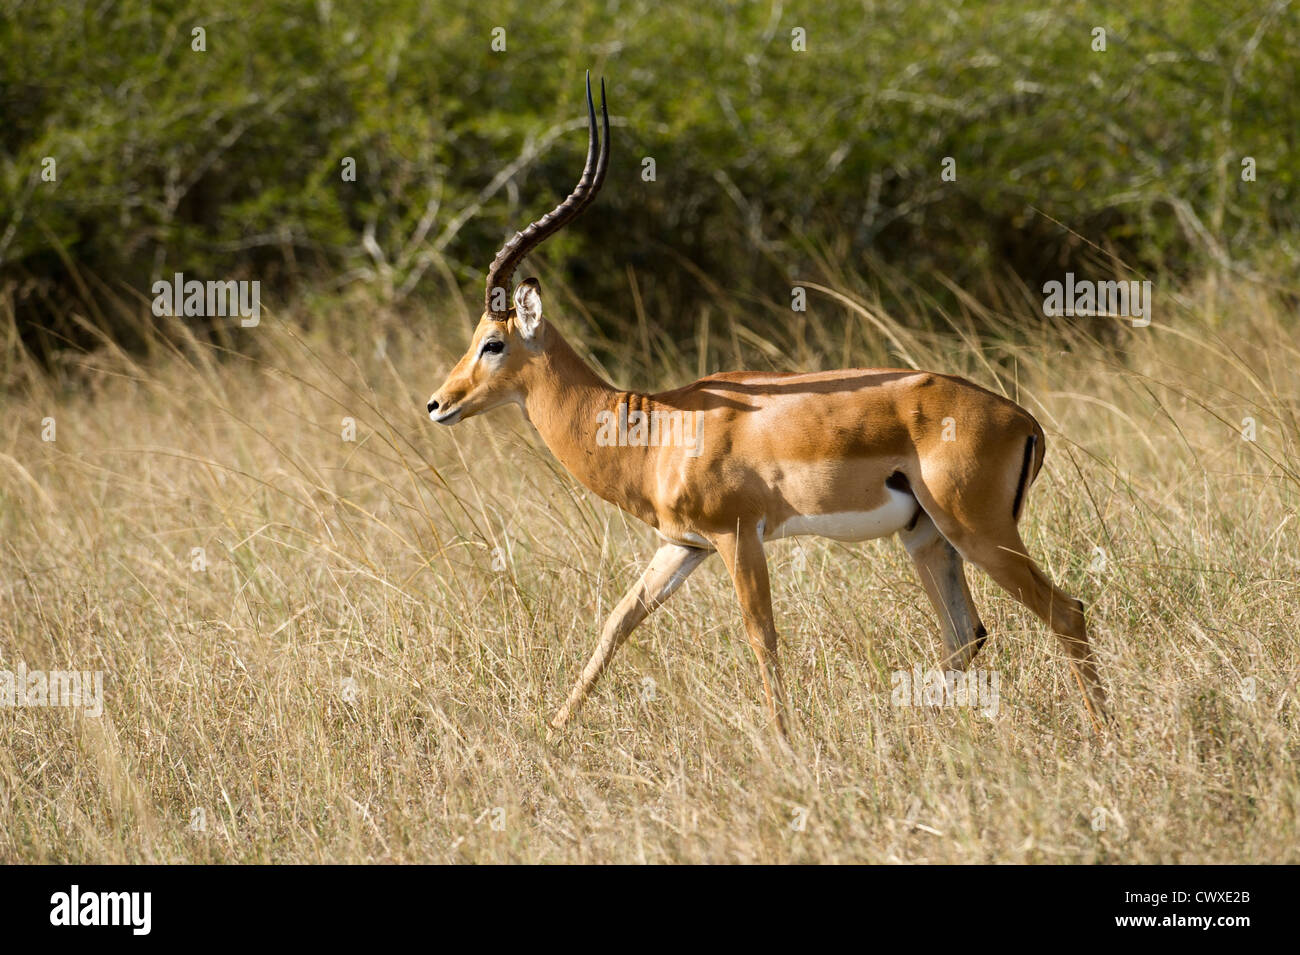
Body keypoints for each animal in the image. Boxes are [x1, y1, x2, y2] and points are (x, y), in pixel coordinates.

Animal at [427, 75, 1107, 737]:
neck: (655, 430)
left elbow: (761, 635)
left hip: (979, 531)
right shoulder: (683, 545)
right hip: (927, 538)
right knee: (966, 634)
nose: (438, 404)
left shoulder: (737, 537)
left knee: (1065, 612)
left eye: (492, 342)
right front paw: (554, 730)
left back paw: (1105, 736)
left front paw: (784, 741)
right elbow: (618, 621)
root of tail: (1024, 420)